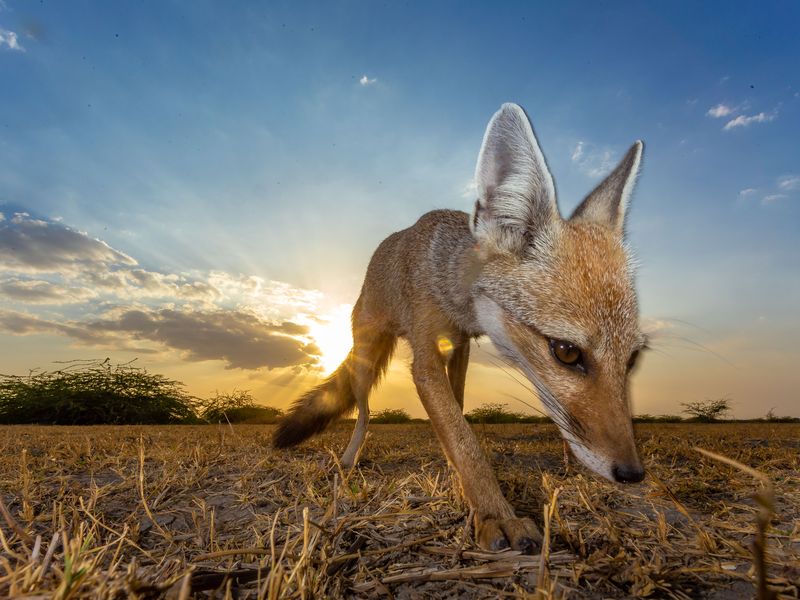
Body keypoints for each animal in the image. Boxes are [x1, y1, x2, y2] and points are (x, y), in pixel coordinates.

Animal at [273, 103, 647, 554]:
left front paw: (464, 483)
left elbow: (458, 418)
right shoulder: (425, 359)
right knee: (363, 413)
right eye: (567, 351)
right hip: (365, 364)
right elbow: (462, 436)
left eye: (633, 358)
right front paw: (496, 514)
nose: (632, 474)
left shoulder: (461, 347)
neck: (449, 285)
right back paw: (348, 460)